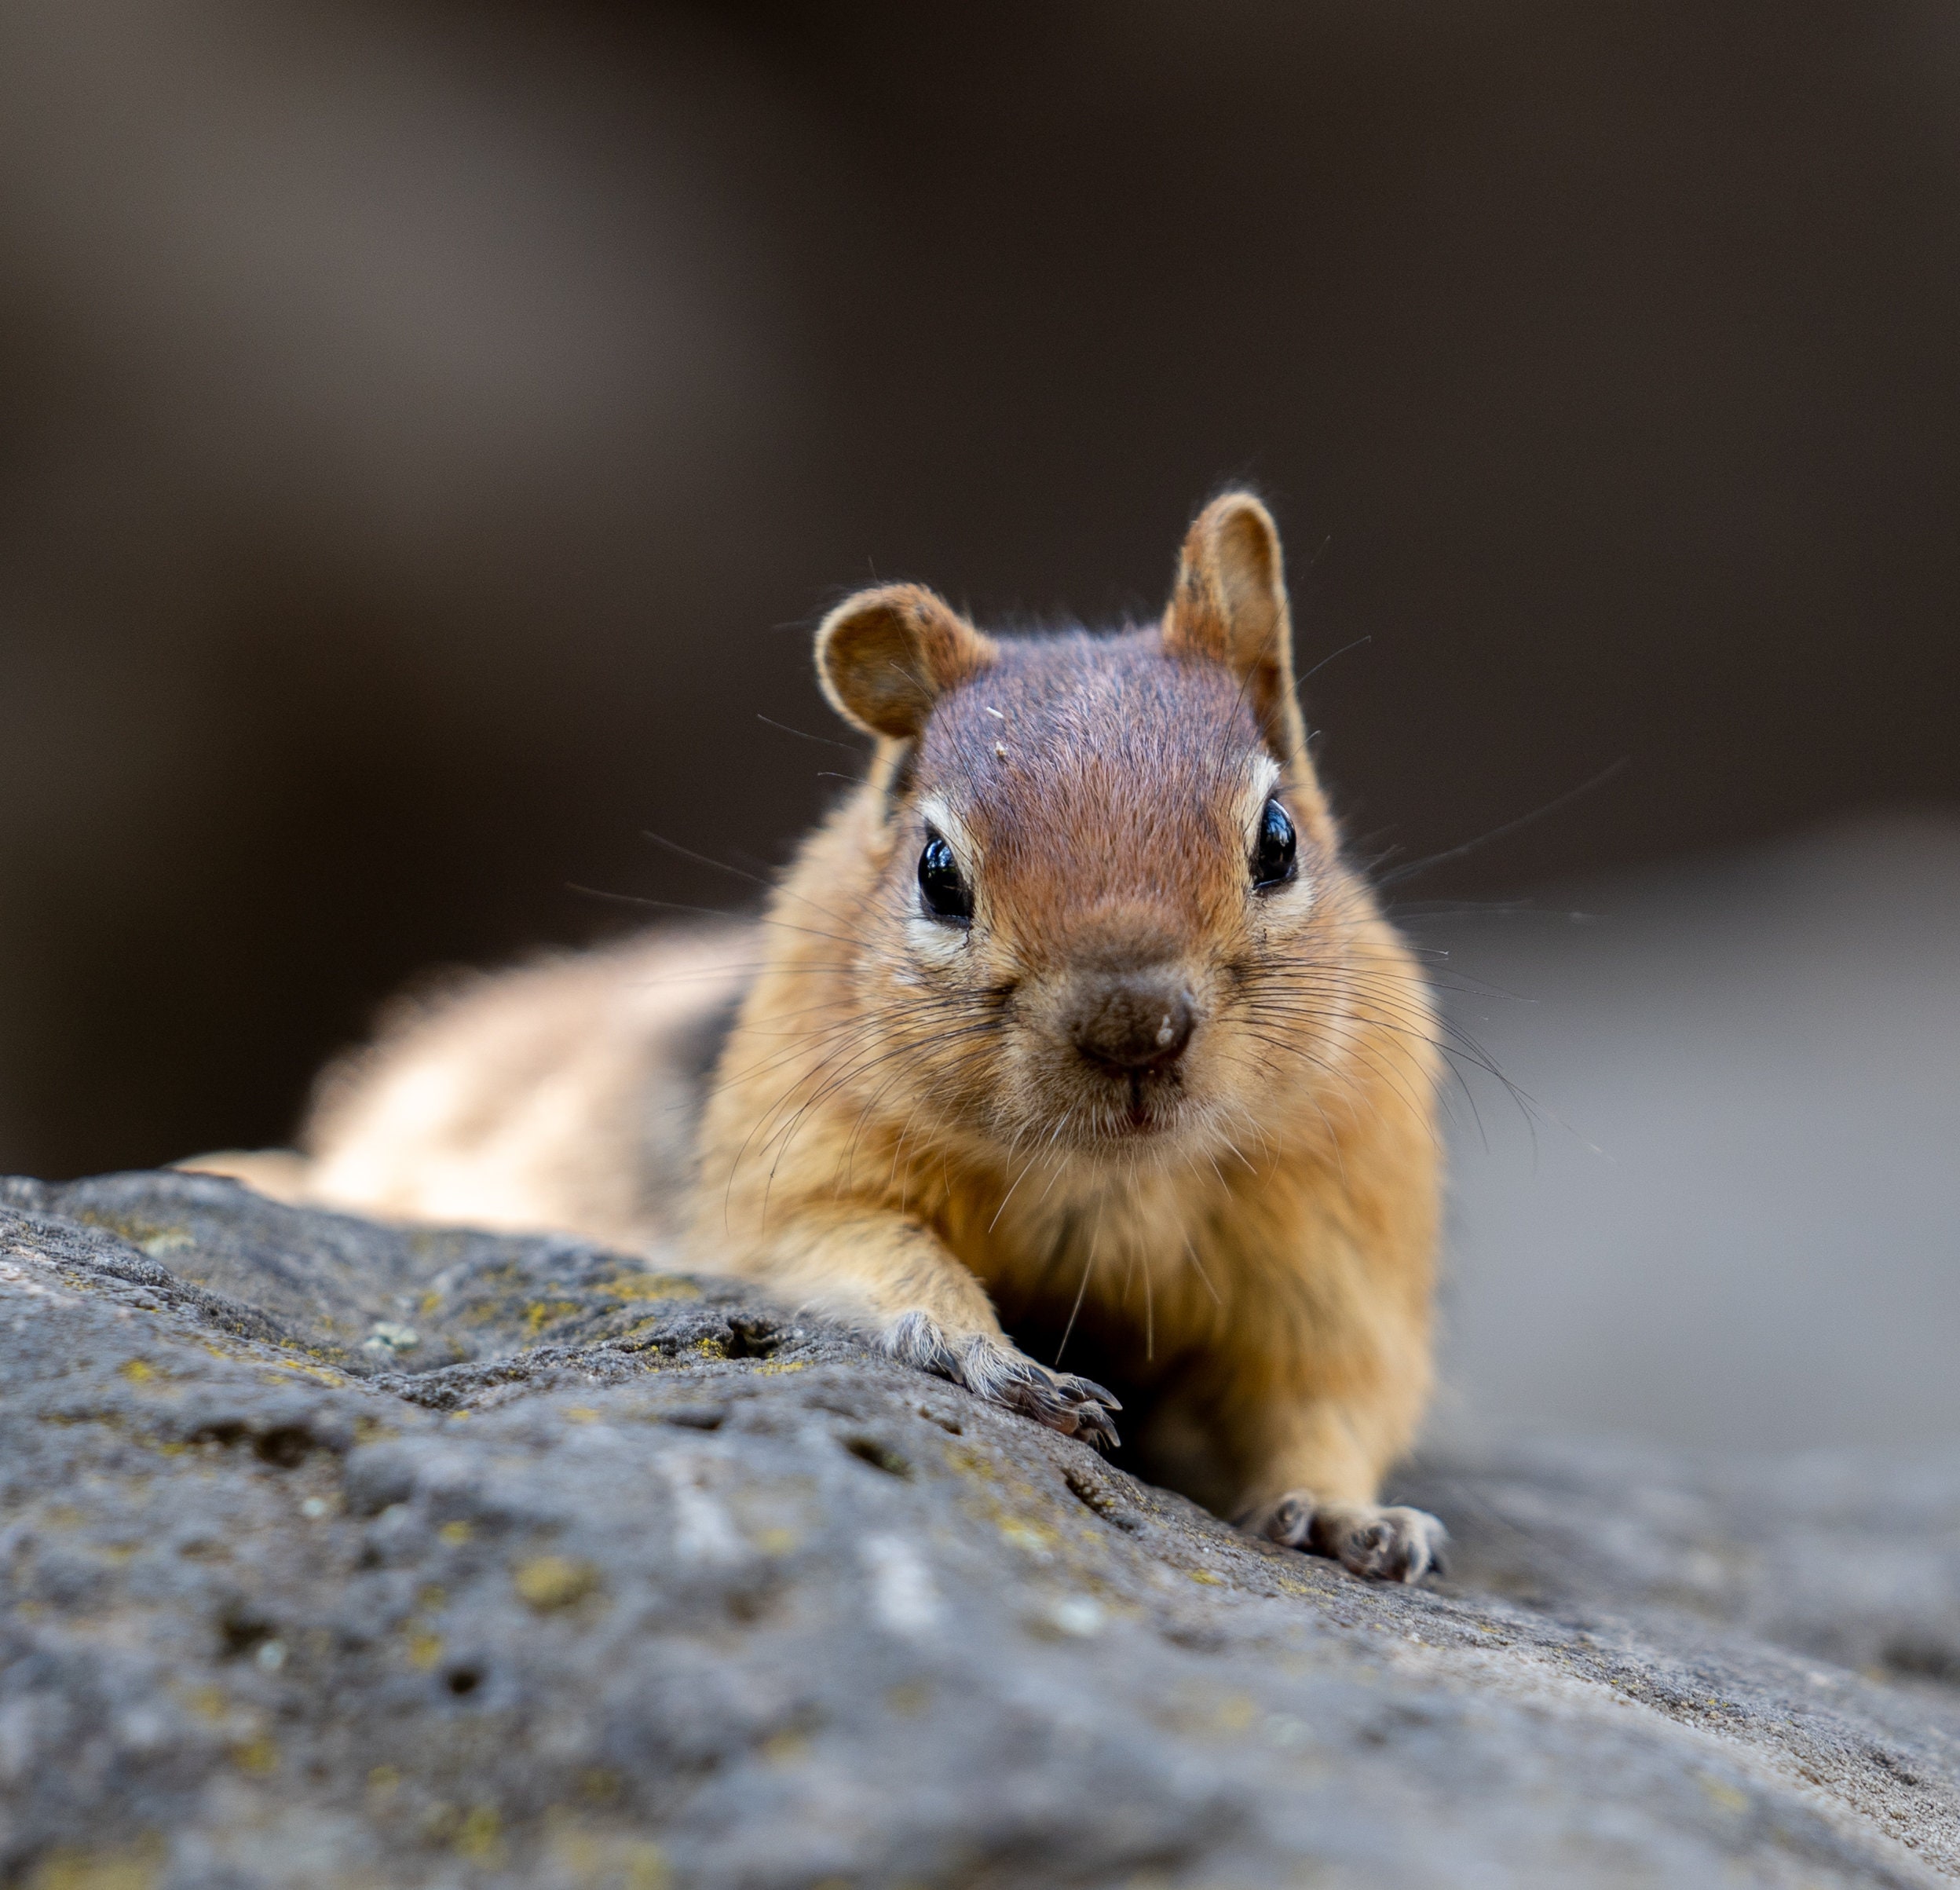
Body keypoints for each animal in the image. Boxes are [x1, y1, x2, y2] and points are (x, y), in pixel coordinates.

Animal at [194, 493, 1447, 1582]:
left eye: (1277, 839)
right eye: (938, 871)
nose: (1135, 1025)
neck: (1107, 1182)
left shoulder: (1333, 1245)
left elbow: (1329, 1393)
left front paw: (1352, 1512)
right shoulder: (791, 1170)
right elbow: (860, 1253)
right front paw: (989, 1356)